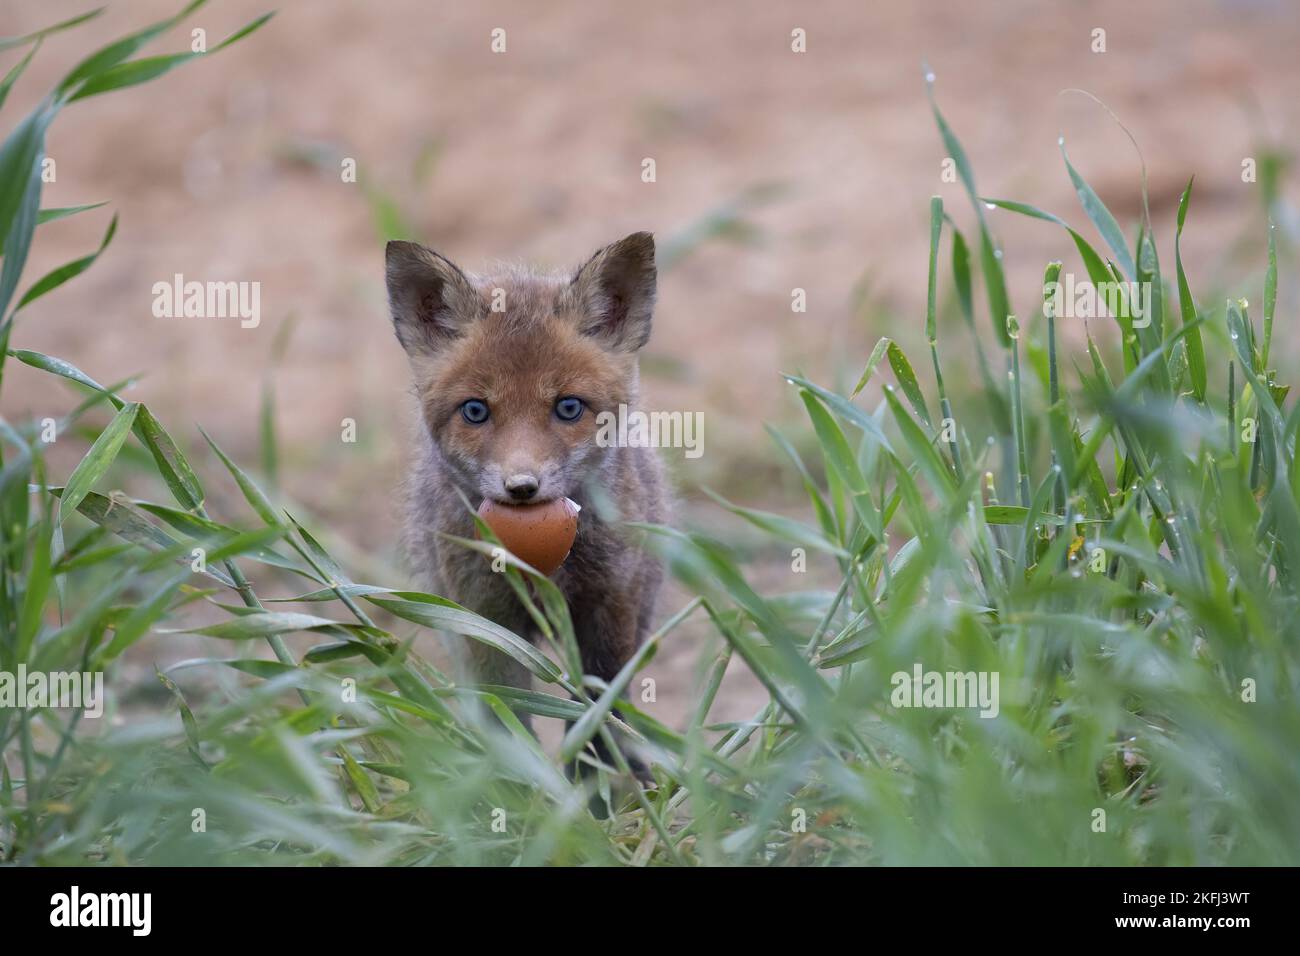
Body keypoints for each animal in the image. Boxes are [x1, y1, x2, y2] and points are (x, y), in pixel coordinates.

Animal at [385, 231, 667, 778]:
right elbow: (507, 715)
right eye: (476, 411)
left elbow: (604, 713)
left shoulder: (608, 605)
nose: (521, 487)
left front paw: (610, 789)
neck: (548, 566)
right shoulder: (483, 617)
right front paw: (520, 789)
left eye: (568, 407)